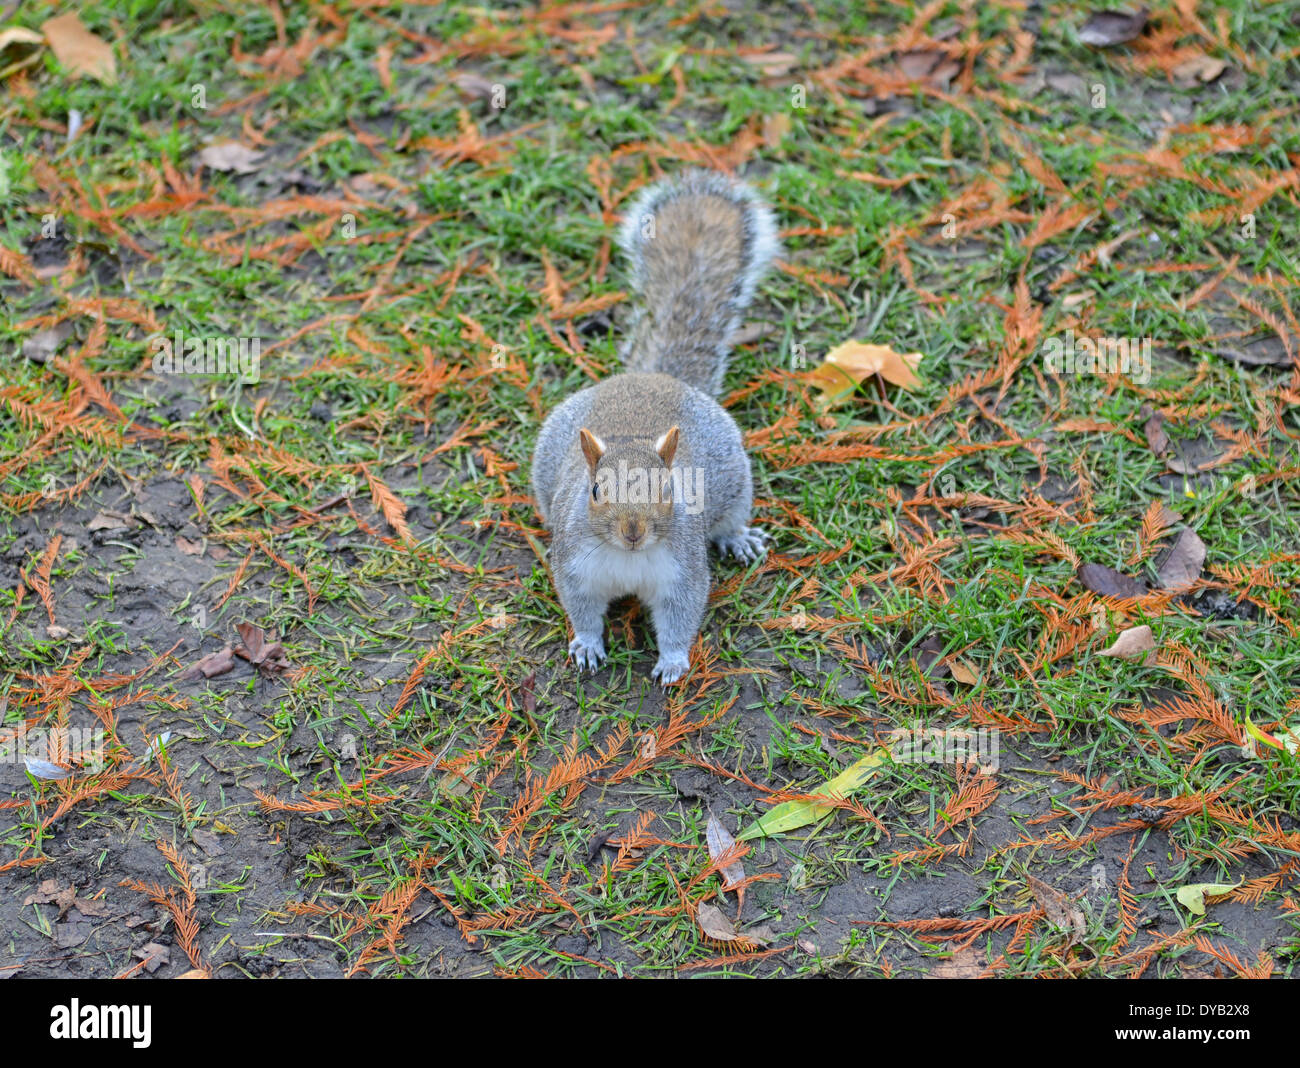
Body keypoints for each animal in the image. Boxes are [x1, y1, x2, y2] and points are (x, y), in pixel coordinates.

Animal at [531, 169, 780, 685]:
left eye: (668, 489)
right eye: (595, 491)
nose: (633, 531)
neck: (628, 558)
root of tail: (654, 376)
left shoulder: (682, 573)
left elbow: (680, 618)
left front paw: (672, 661)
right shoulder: (575, 568)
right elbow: (582, 611)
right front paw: (587, 646)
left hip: (736, 478)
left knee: (731, 516)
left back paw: (736, 537)